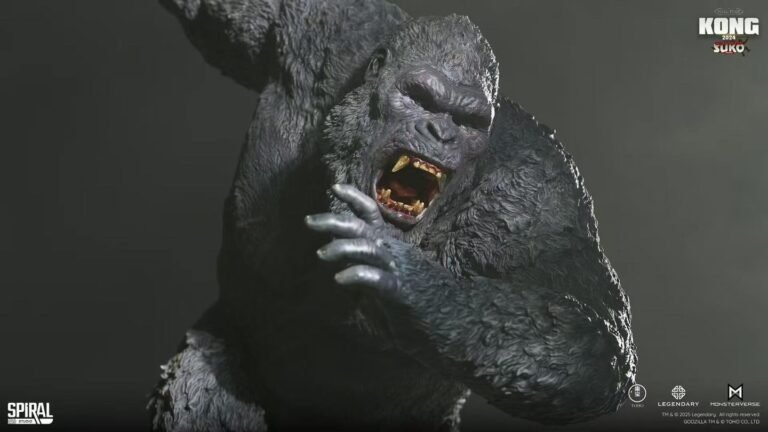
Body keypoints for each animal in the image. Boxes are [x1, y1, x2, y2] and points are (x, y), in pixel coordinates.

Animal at [148, 0, 637, 431]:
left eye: (467, 121)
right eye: (419, 98)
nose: (441, 132)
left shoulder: (537, 196)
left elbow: (587, 336)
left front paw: (403, 276)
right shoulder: (322, 39)